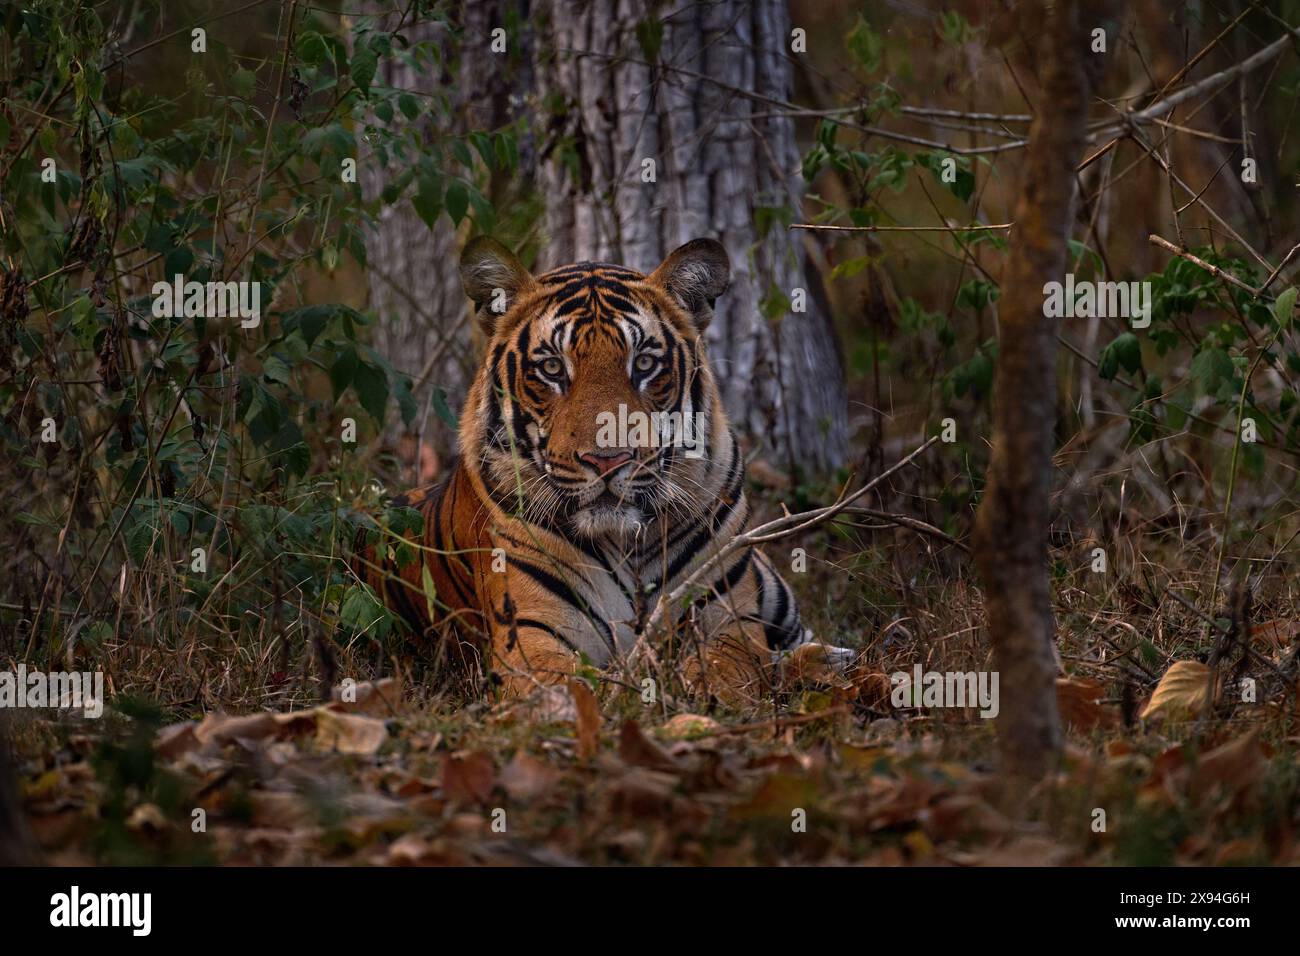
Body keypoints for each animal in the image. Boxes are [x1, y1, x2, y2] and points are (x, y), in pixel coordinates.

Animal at [353, 236, 849, 699]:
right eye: (552, 368)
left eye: (644, 363)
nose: (607, 460)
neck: (627, 544)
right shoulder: (531, 636)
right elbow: (578, 690)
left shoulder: (730, 617)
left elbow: (730, 668)